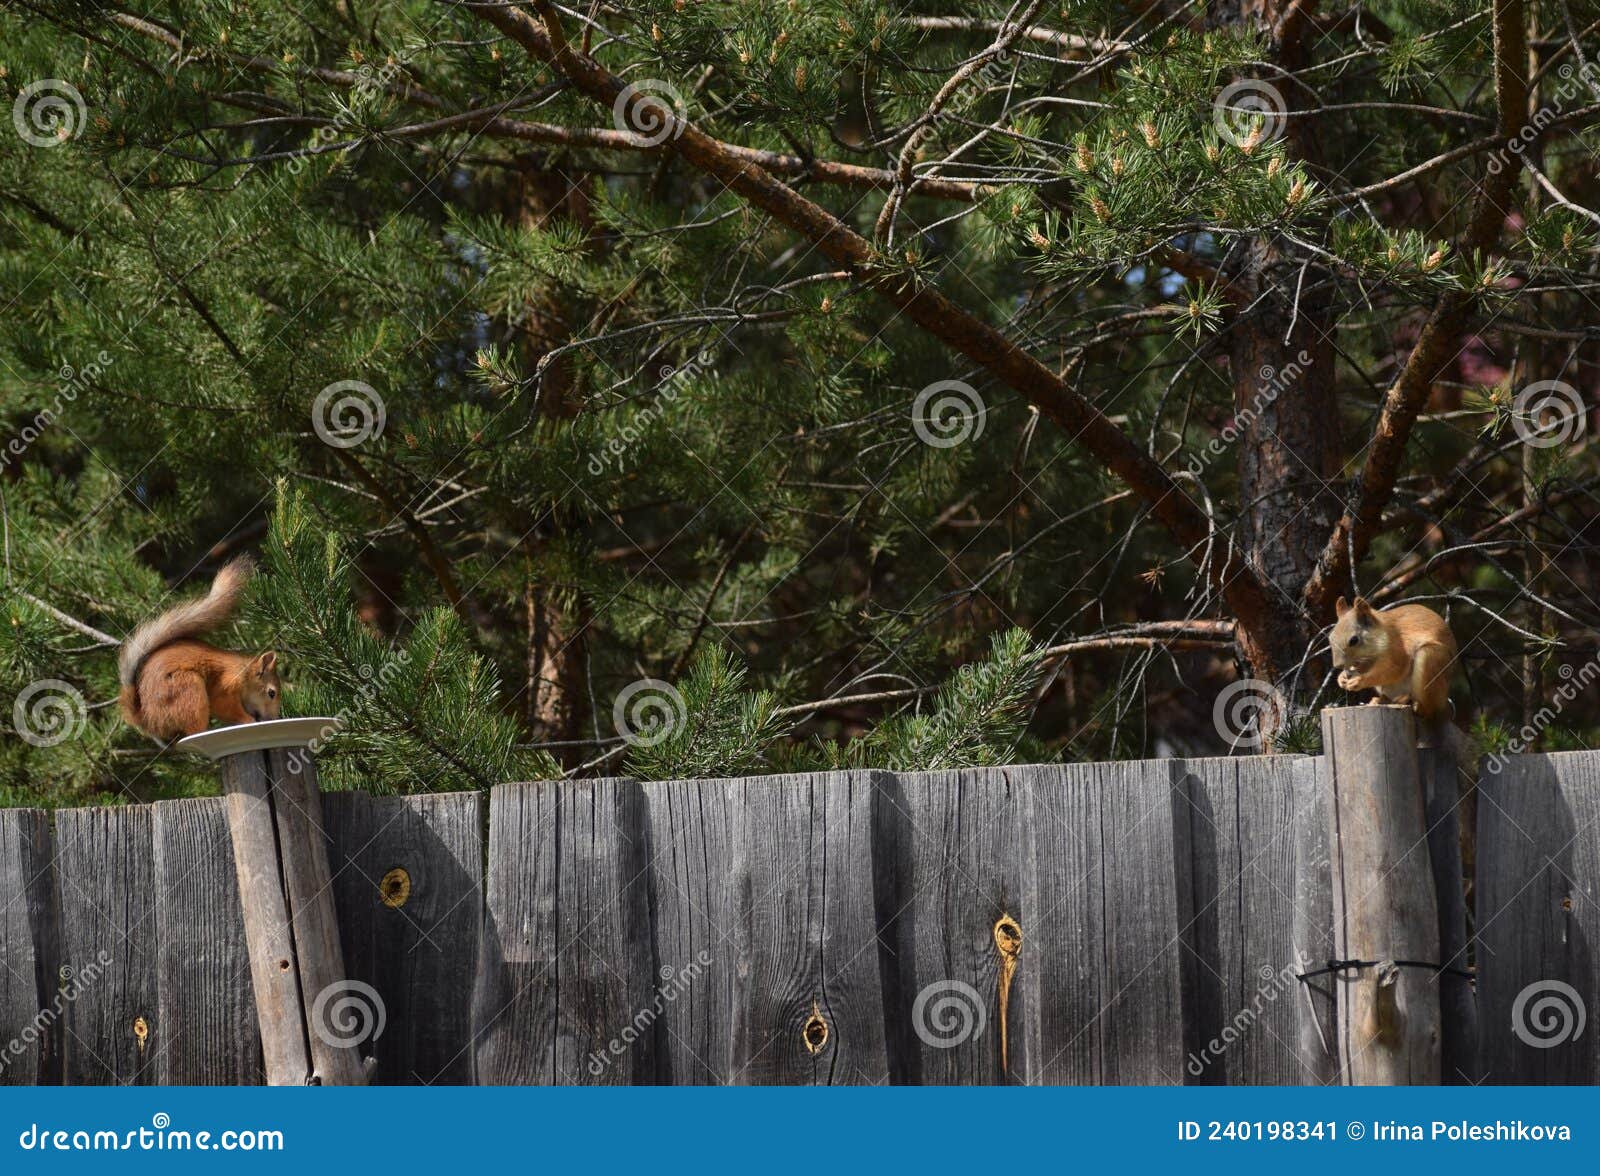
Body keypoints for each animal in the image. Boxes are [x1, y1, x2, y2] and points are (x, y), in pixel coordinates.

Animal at [117, 557, 280, 743]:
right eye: (272, 693)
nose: (273, 719)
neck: (245, 672)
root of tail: (148, 720)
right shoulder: (227, 683)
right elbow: (222, 704)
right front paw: (248, 720)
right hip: (188, 689)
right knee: (194, 729)